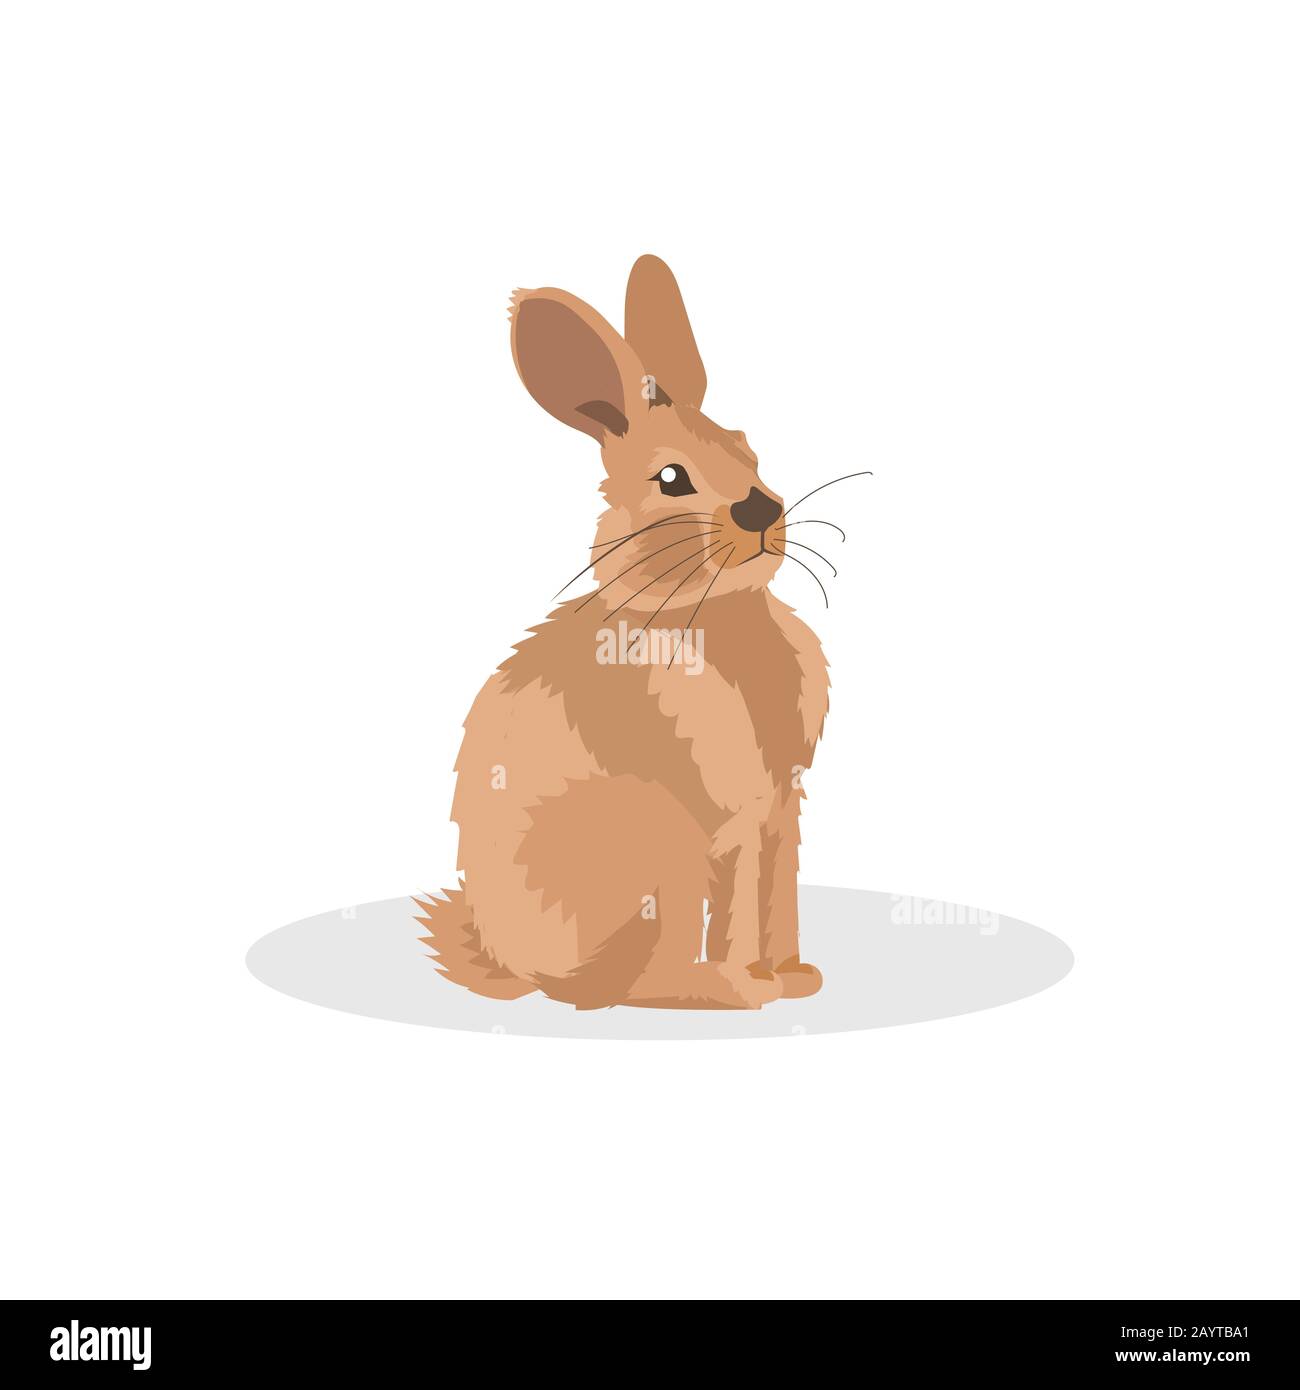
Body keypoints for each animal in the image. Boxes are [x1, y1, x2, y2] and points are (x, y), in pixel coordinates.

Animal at [415, 255, 830, 1009]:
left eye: (746, 446)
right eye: (670, 478)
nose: (761, 510)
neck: (714, 614)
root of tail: (520, 969)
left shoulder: (784, 805)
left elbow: (778, 892)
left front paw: (795, 977)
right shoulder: (735, 810)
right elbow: (743, 903)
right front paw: (755, 984)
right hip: (661, 853)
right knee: (638, 979)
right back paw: (715, 990)